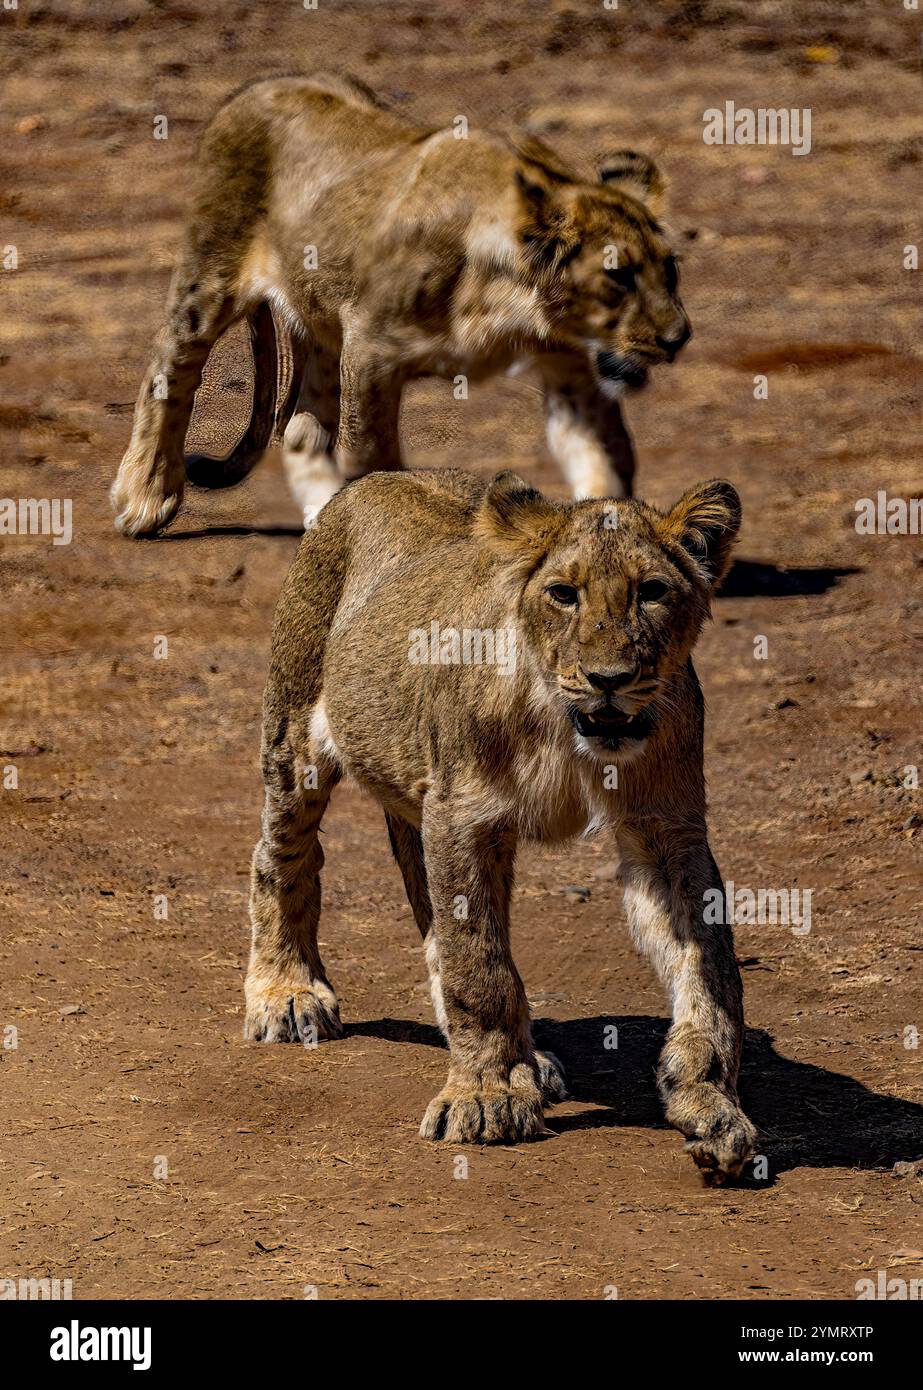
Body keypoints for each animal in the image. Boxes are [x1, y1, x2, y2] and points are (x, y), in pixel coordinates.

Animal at [110, 73, 690, 538]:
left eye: (671, 269)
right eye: (618, 275)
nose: (678, 337)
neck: (513, 301)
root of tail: (258, 86)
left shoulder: (571, 366)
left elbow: (604, 458)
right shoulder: (372, 348)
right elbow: (375, 463)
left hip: (323, 323)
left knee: (300, 430)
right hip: (210, 276)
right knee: (169, 368)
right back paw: (144, 499)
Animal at [244, 467, 757, 1183]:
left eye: (652, 592)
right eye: (564, 594)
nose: (609, 680)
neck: (567, 731)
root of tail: (377, 476)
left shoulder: (665, 827)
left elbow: (708, 965)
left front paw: (710, 1103)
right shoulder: (464, 813)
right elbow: (479, 963)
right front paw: (484, 1097)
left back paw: (529, 1063)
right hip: (296, 741)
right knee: (284, 857)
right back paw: (287, 995)